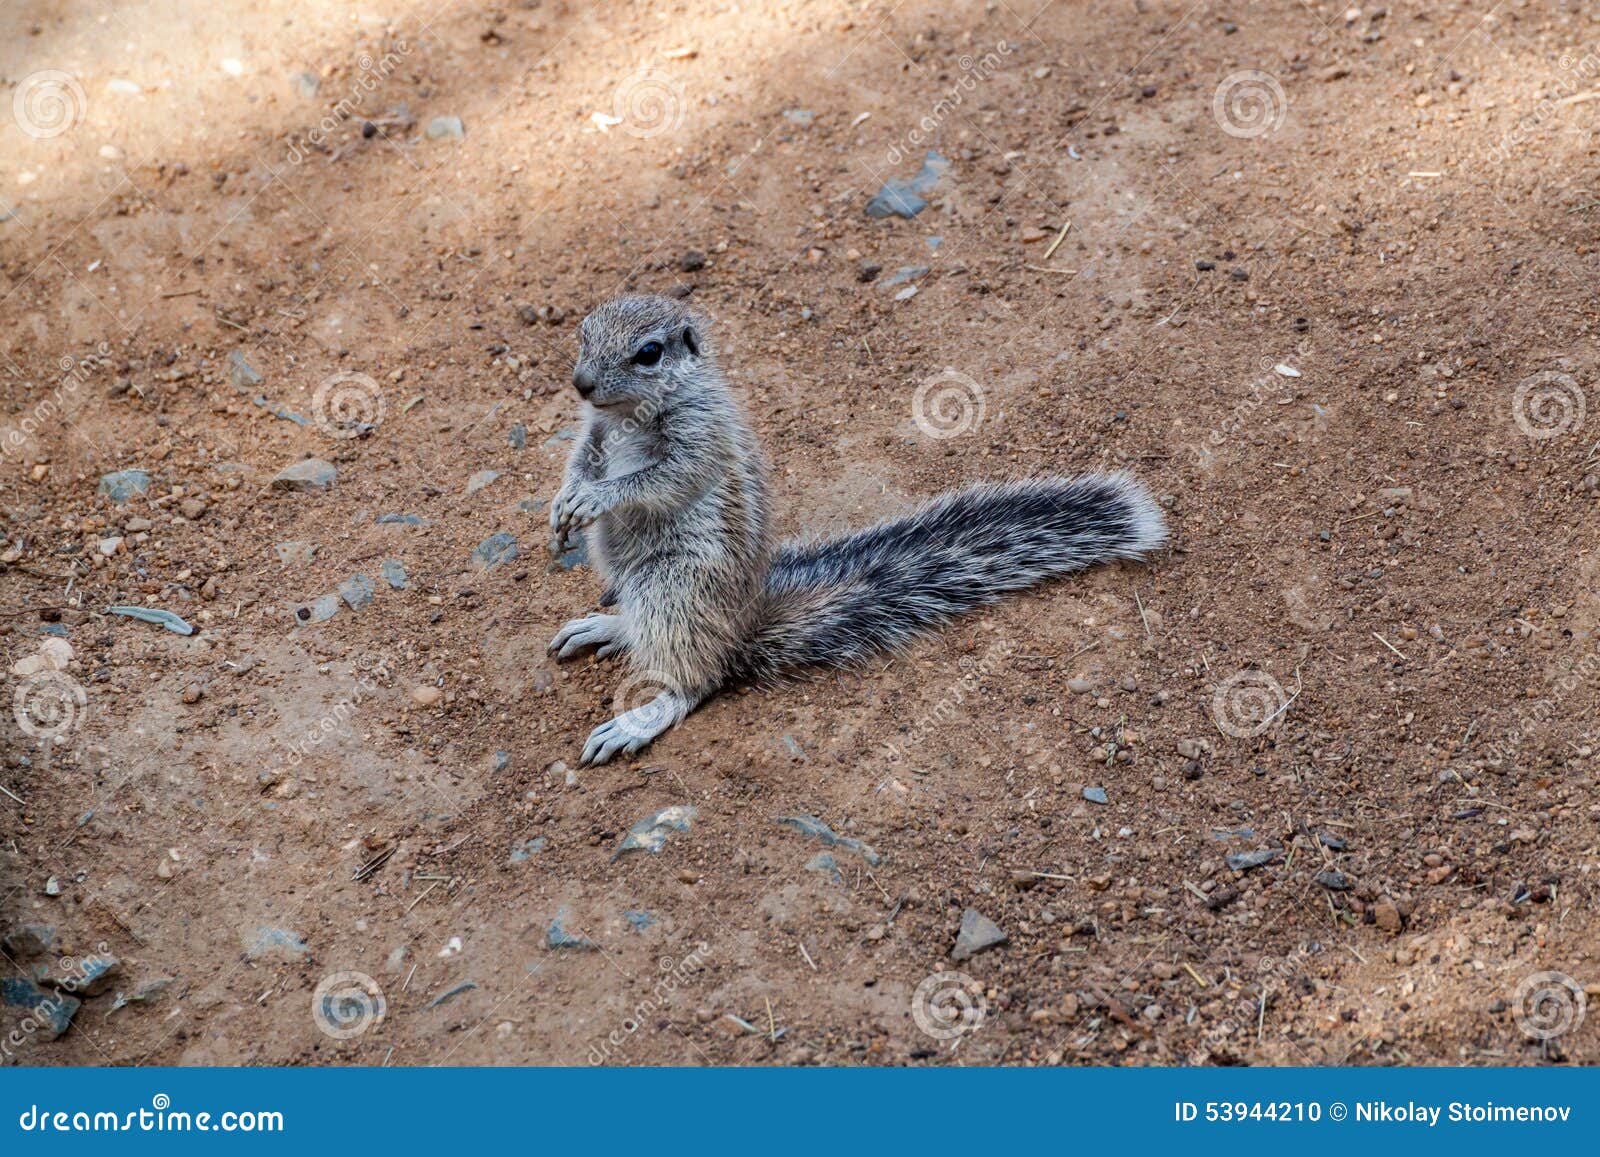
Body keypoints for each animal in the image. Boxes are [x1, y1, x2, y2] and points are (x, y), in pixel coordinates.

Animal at [546, 294, 1168, 766]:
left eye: (649, 353)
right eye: (582, 331)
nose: (580, 383)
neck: (628, 414)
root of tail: (742, 628)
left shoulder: (700, 438)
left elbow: (662, 478)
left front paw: (598, 495)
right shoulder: (595, 431)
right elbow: (582, 455)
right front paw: (565, 497)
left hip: (673, 587)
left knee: (695, 678)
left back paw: (641, 715)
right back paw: (608, 626)